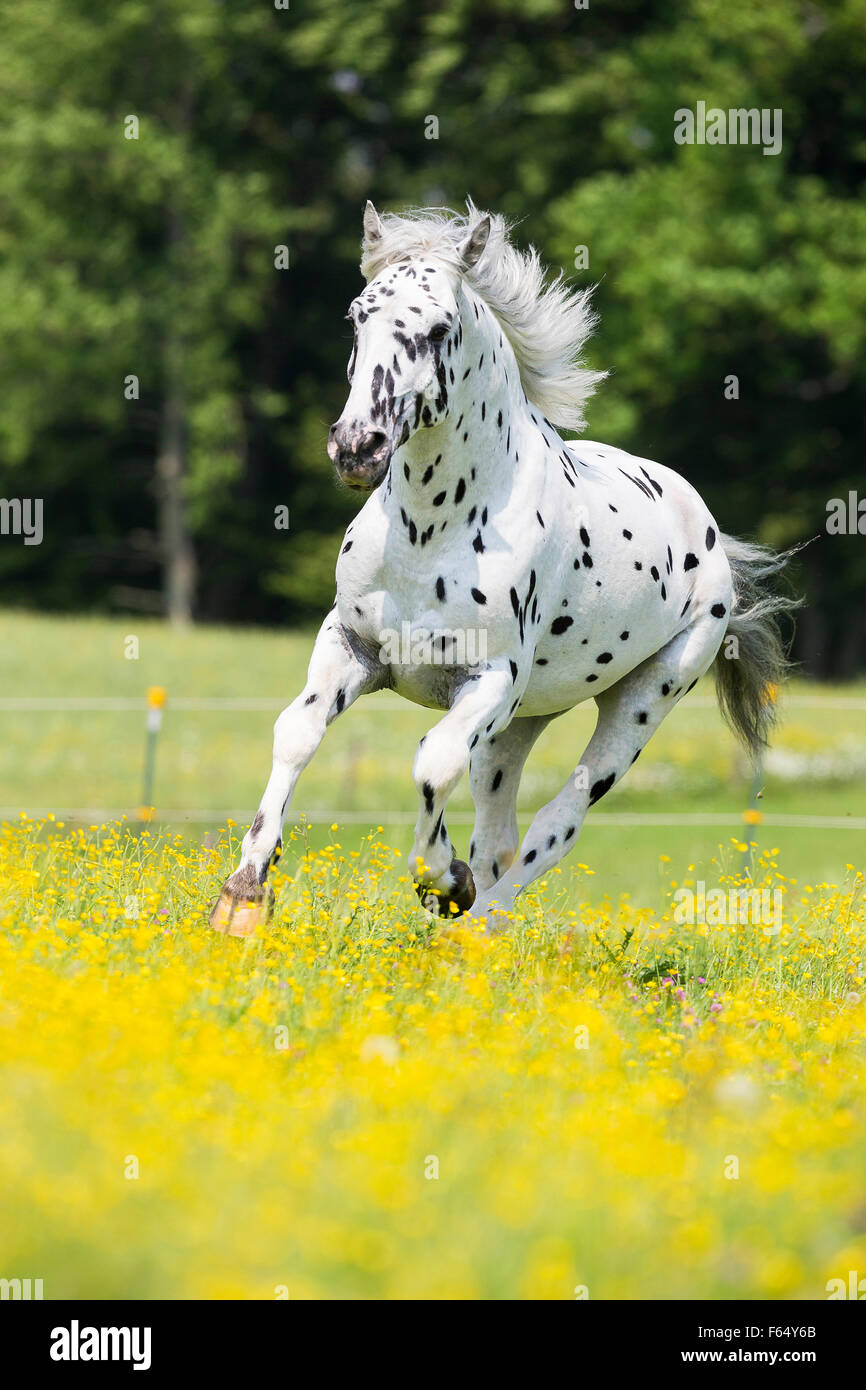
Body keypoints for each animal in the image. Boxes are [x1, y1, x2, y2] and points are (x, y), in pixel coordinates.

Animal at [210, 201, 797, 934]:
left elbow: (432, 764)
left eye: (439, 328)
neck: (431, 530)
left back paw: (479, 923)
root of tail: (710, 533)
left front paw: (440, 881)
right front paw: (244, 891)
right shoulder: (353, 648)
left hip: (640, 701)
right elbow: (297, 733)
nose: (357, 447)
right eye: (356, 315)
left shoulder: (488, 680)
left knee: (555, 826)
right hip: (522, 721)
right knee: (499, 831)